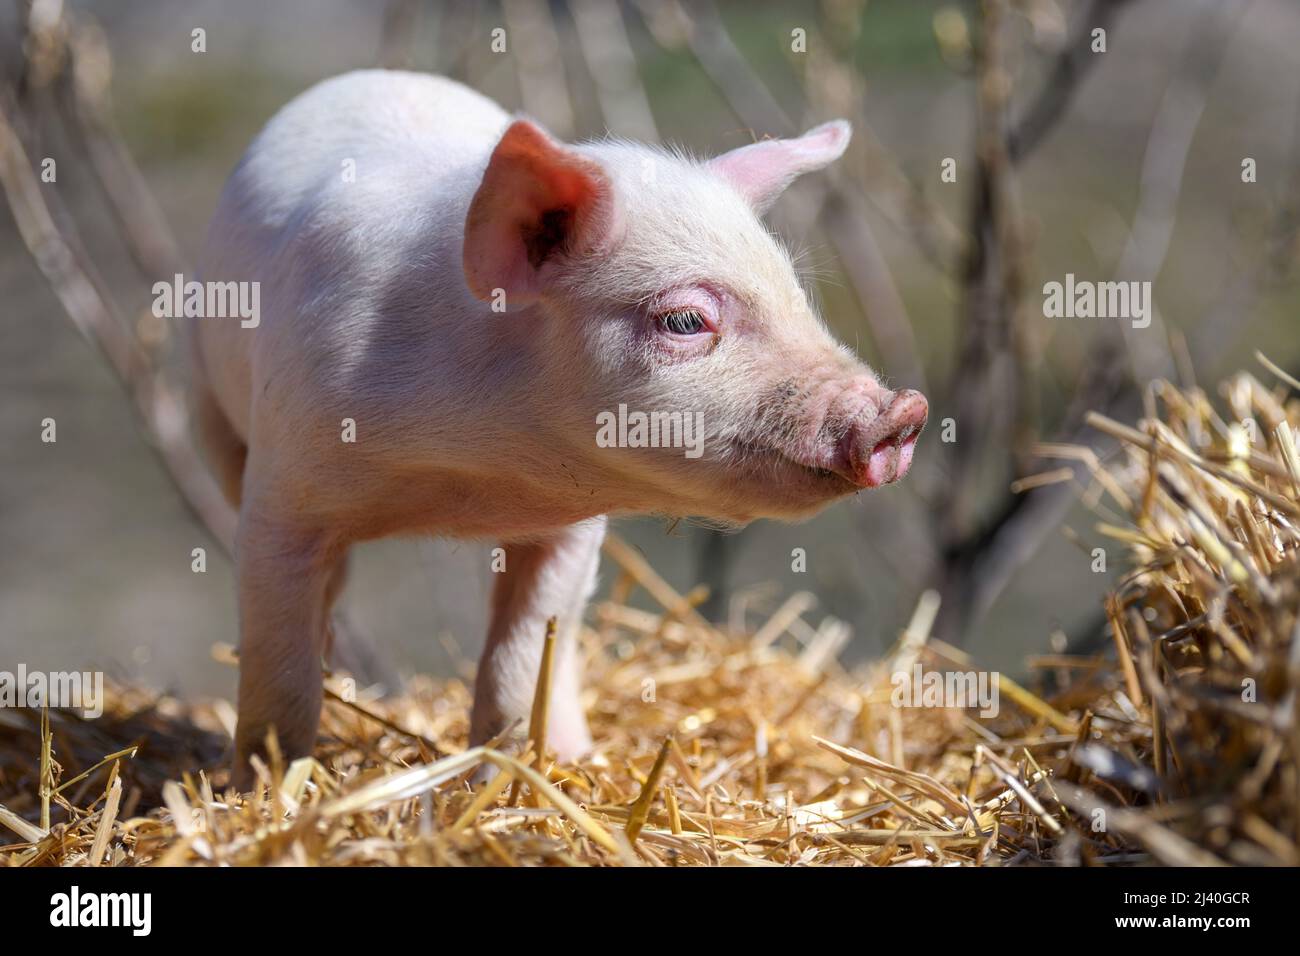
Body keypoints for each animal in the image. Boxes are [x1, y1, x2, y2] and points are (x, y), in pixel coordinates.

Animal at [191, 70, 928, 789]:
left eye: (797, 296)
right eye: (685, 320)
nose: (902, 413)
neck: (465, 475)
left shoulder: (573, 527)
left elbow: (526, 654)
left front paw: (529, 769)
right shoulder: (282, 491)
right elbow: (280, 671)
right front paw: (262, 789)